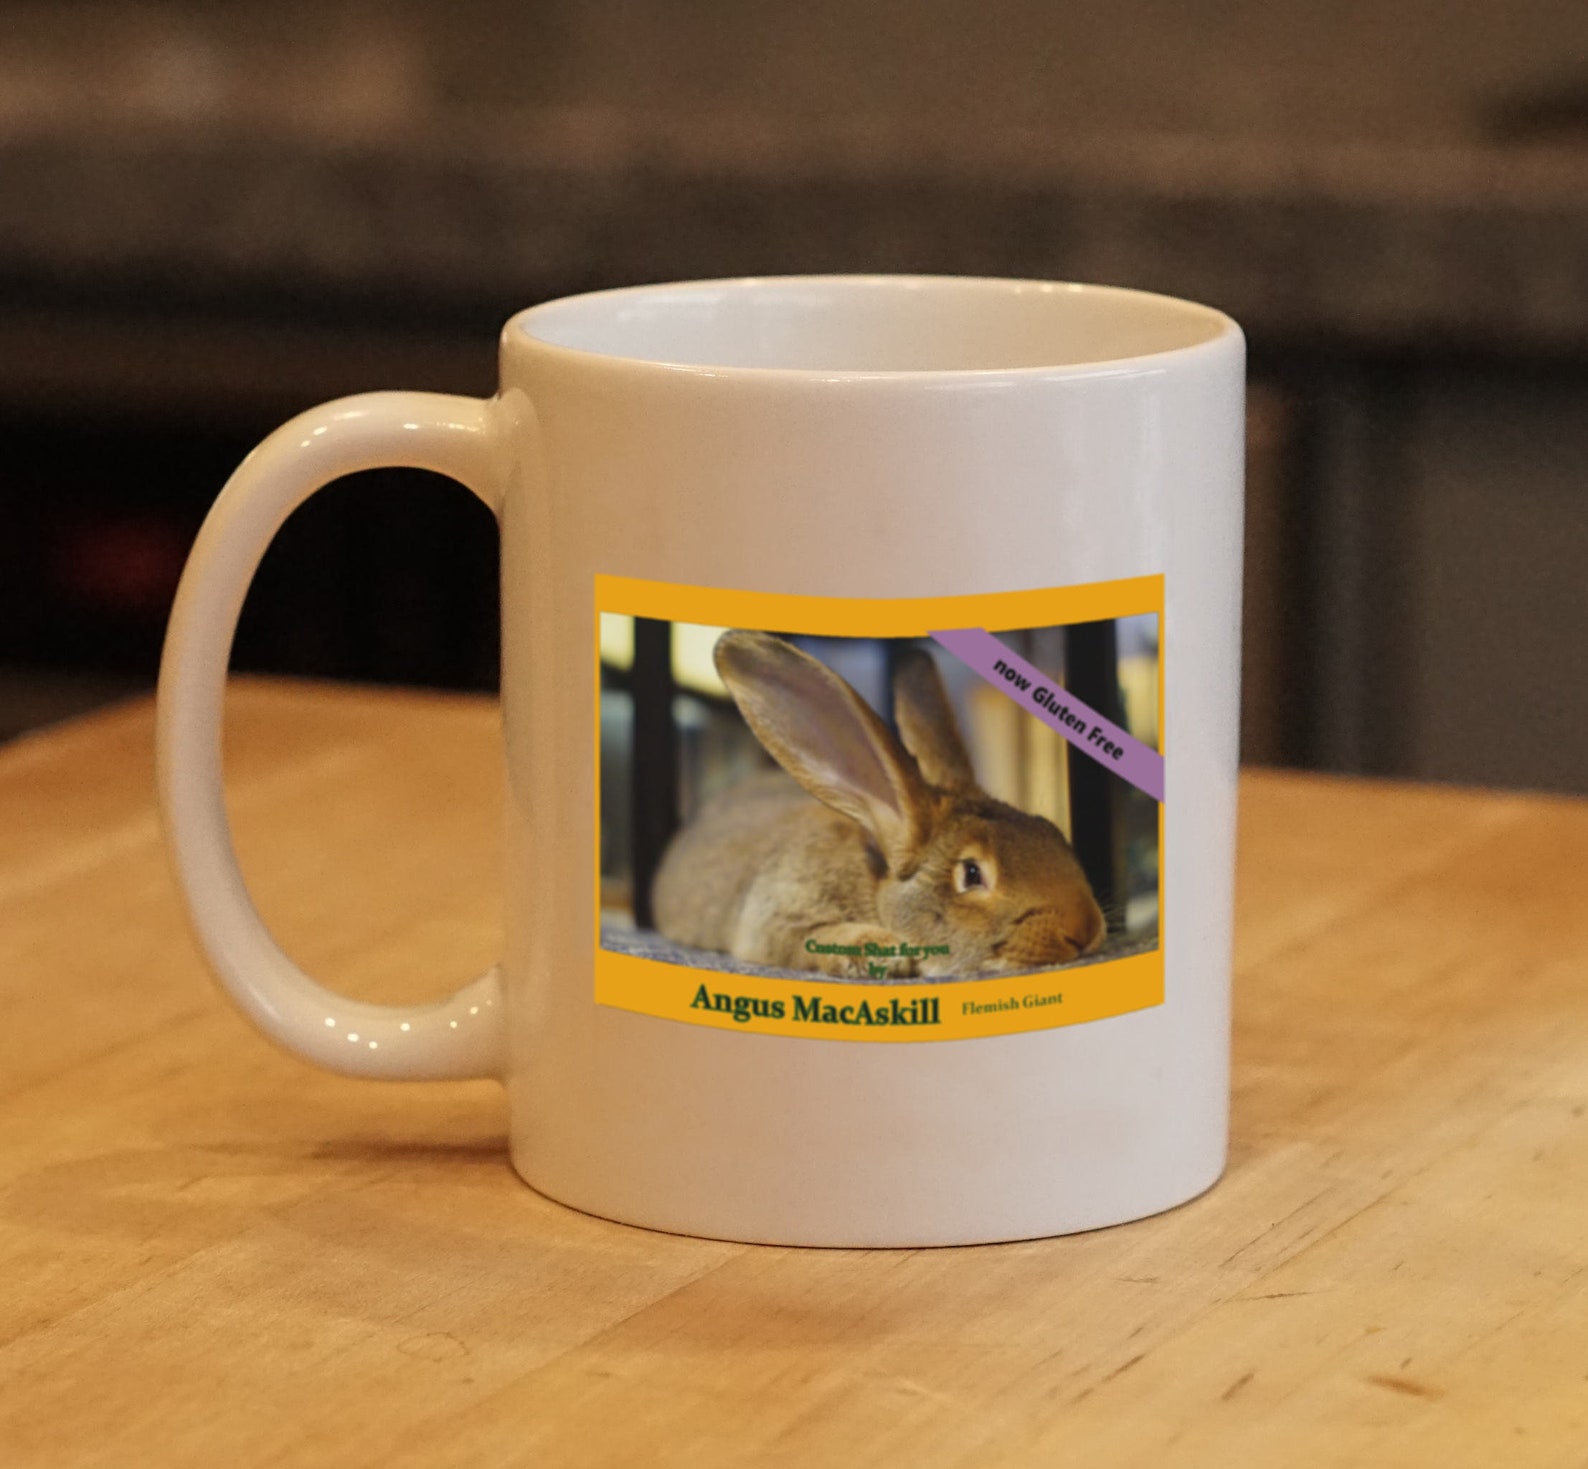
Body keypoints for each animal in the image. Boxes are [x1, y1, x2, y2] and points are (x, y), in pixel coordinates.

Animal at [651, 630, 1106, 979]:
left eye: (1051, 830)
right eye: (972, 873)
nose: (1084, 929)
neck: (875, 883)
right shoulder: (777, 920)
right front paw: (885, 951)